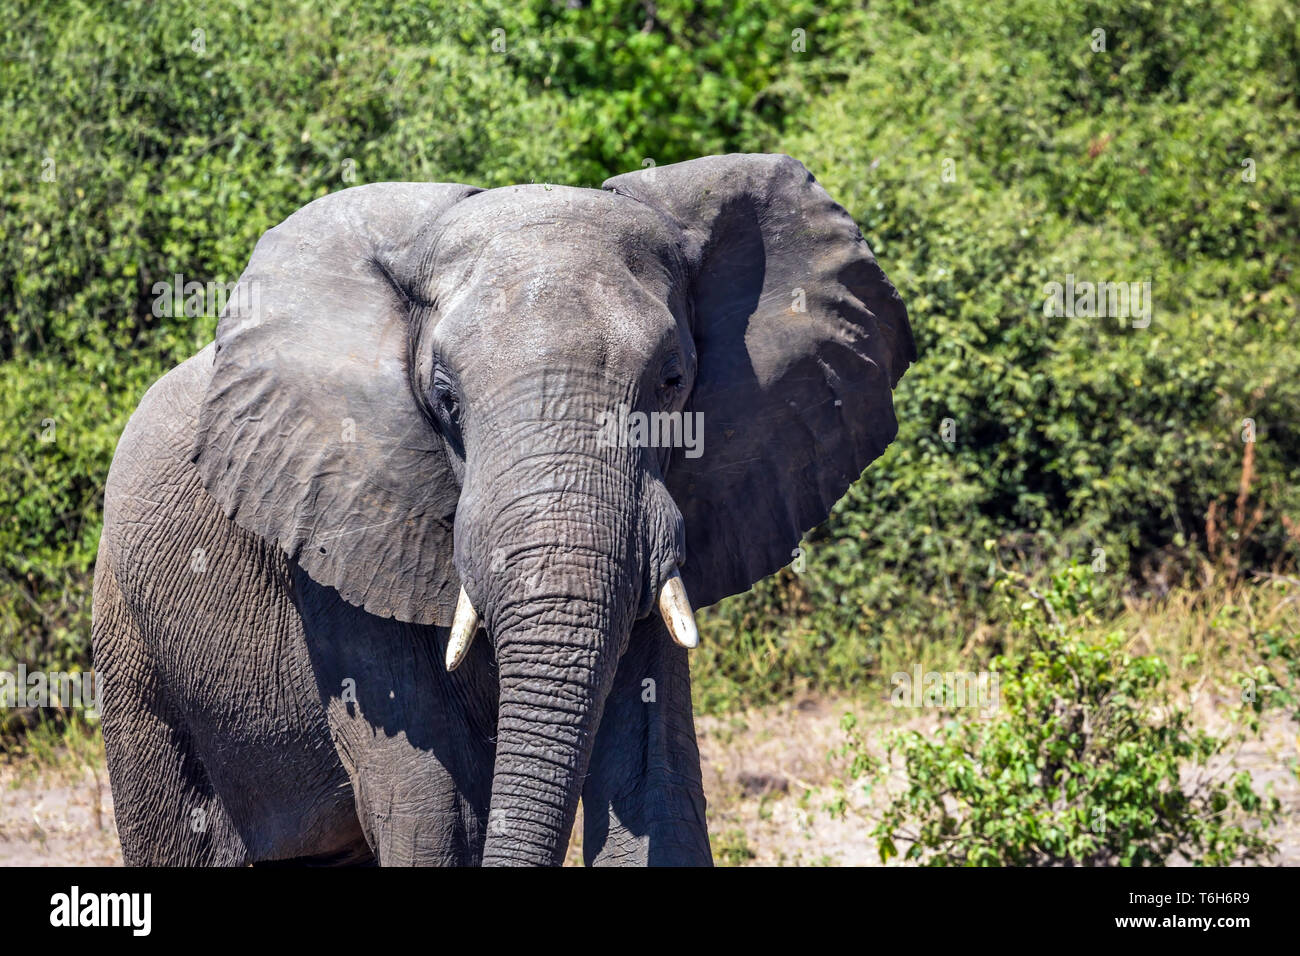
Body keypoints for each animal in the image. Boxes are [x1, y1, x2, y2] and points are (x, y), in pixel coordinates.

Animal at [92, 153, 914, 866]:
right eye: (444, 398)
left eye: (674, 380)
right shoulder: (333, 524)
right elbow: (437, 812)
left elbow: (654, 787)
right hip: (131, 633)